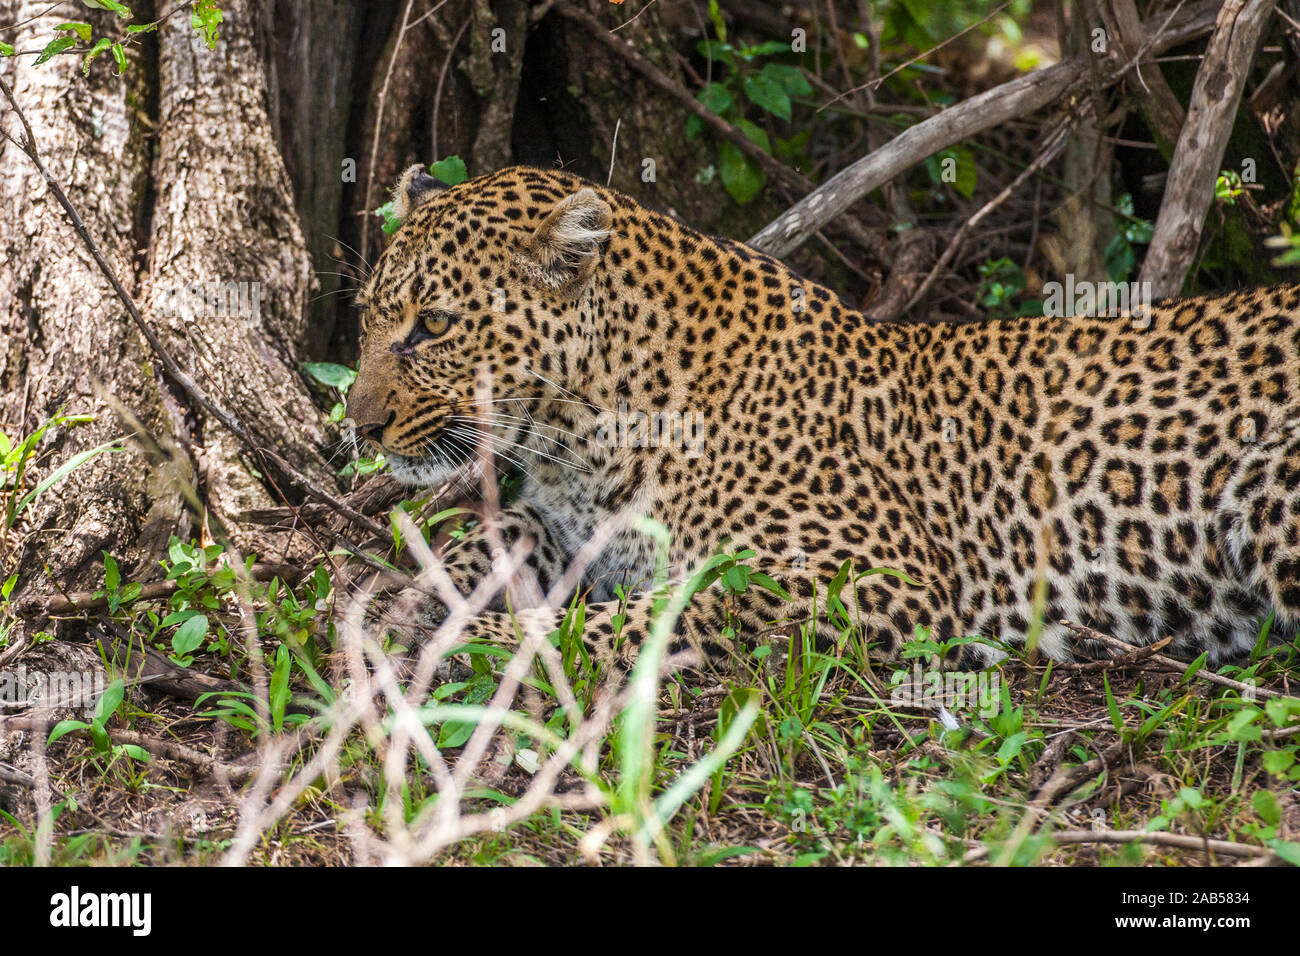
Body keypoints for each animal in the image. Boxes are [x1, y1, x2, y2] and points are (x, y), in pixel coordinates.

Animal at [346, 162, 1300, 673]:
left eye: (434, 325)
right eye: (365, 316)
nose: (358, 427)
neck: (579, 433)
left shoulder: (872, 576)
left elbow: (658, 615)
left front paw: (476, 644)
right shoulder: (562, 525)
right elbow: (482, 543)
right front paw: (393, 602)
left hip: (1271, 487)